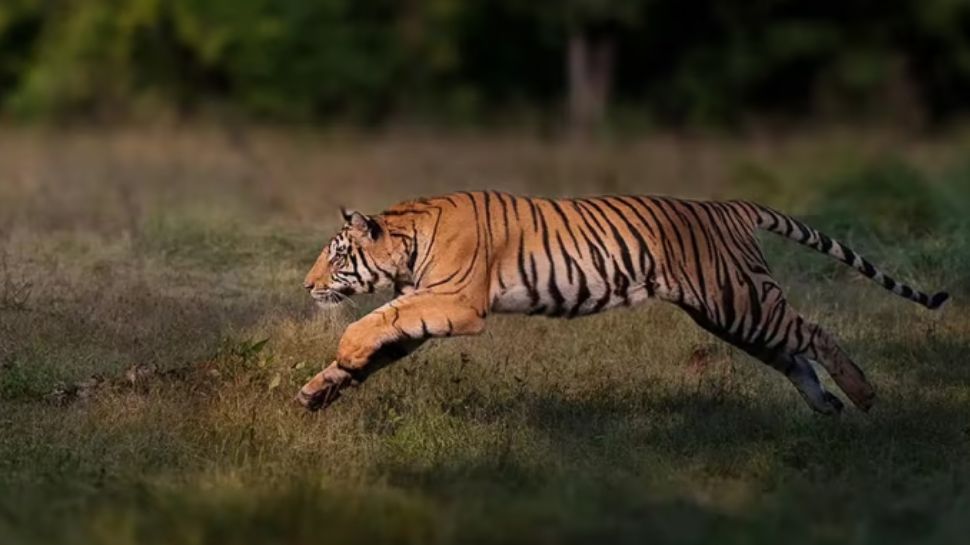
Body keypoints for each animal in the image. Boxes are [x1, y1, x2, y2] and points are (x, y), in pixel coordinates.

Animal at [296, 191, 949, 415]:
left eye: (336, 256)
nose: (305, 285)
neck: (408, 240)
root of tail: (730, 206)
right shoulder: (428, 306)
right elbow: (381, 337)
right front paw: (320, 389)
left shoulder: (456, 303)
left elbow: (376, 320)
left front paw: (344, 353)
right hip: (733, 316)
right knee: (792, 354)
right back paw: (826, 407)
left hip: (741, 301)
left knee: (815, 333)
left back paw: (862, 396)